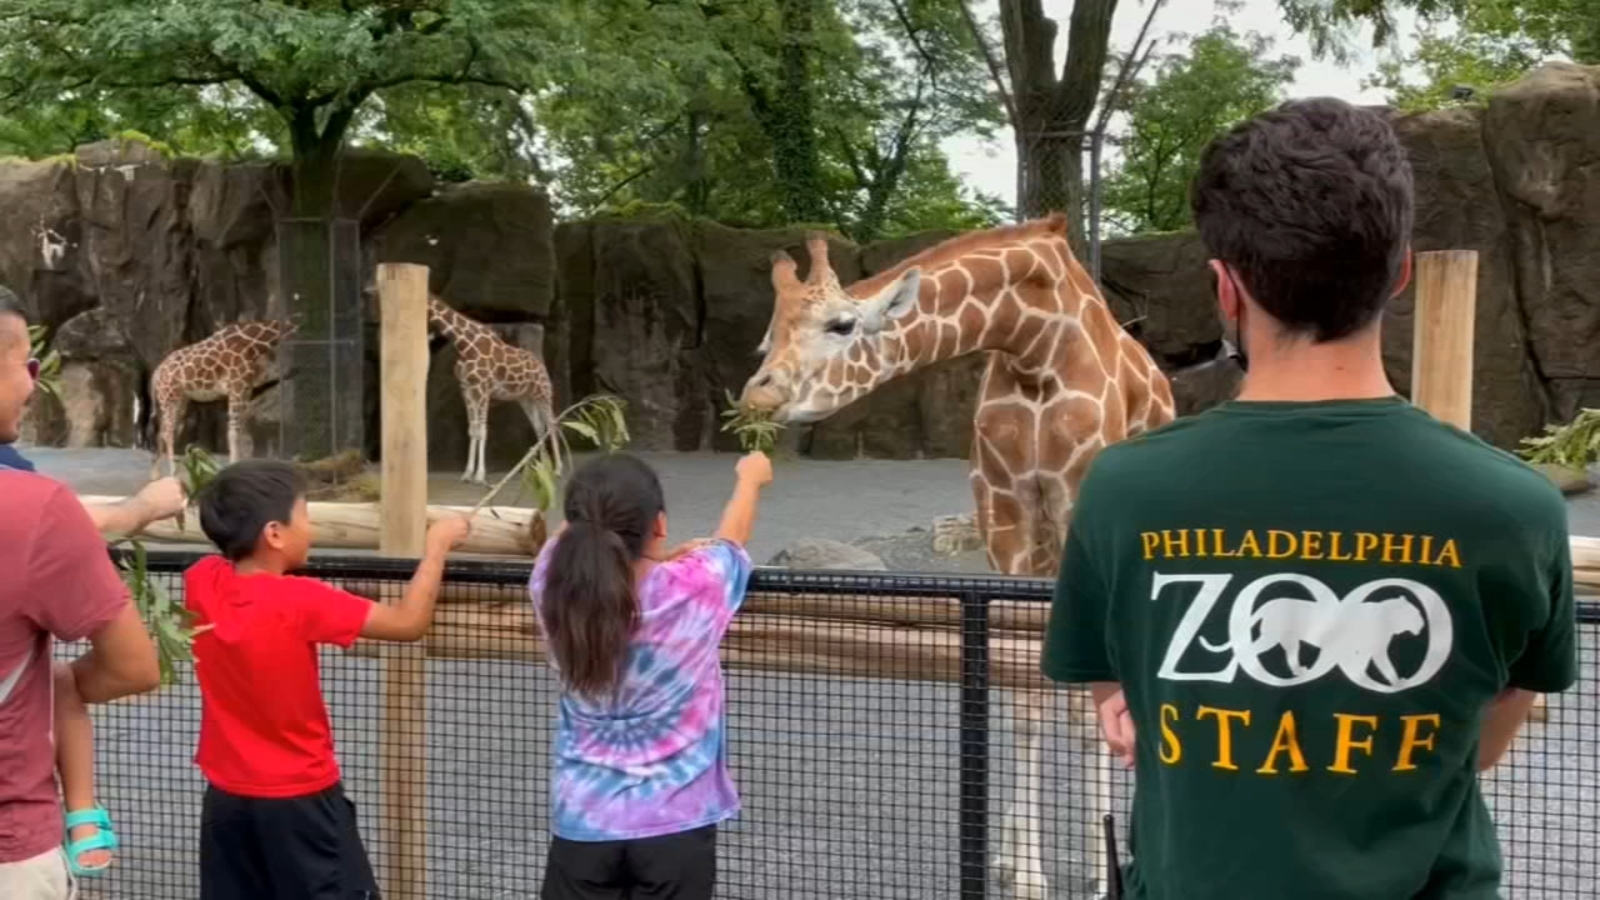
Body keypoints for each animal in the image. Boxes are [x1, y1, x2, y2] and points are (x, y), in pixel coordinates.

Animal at [149, 318, 298, 479]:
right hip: (169, 396)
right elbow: (233, 432)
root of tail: (156, 374)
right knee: (167, 431)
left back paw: (156, 475)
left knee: (163, 430)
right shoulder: (236, 387)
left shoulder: (246, 389)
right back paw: (172, 472)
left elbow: (242, 432)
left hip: (180, 399)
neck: (253, 345)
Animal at [426, 295, 558, 485]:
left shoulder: (483, 388)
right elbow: (472, 430)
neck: (464, 344)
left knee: (552, 424)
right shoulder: (467, 389)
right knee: (539, 426)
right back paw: (542, 468)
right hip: (526, 398)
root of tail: (539, 364)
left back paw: (557, 469)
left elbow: (482, 431)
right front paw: (467, 474)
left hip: (544, 393)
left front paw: (480, 476)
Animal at [739, 214, 1175, 900]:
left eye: (842, 324)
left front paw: (1098, 873)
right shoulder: (1008, 522)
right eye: (766, 340)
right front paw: (1025, 872)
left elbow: (1083, 705)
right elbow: (1023, 693)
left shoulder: (1078, 518)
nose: (759, 397)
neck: (1033, 345)